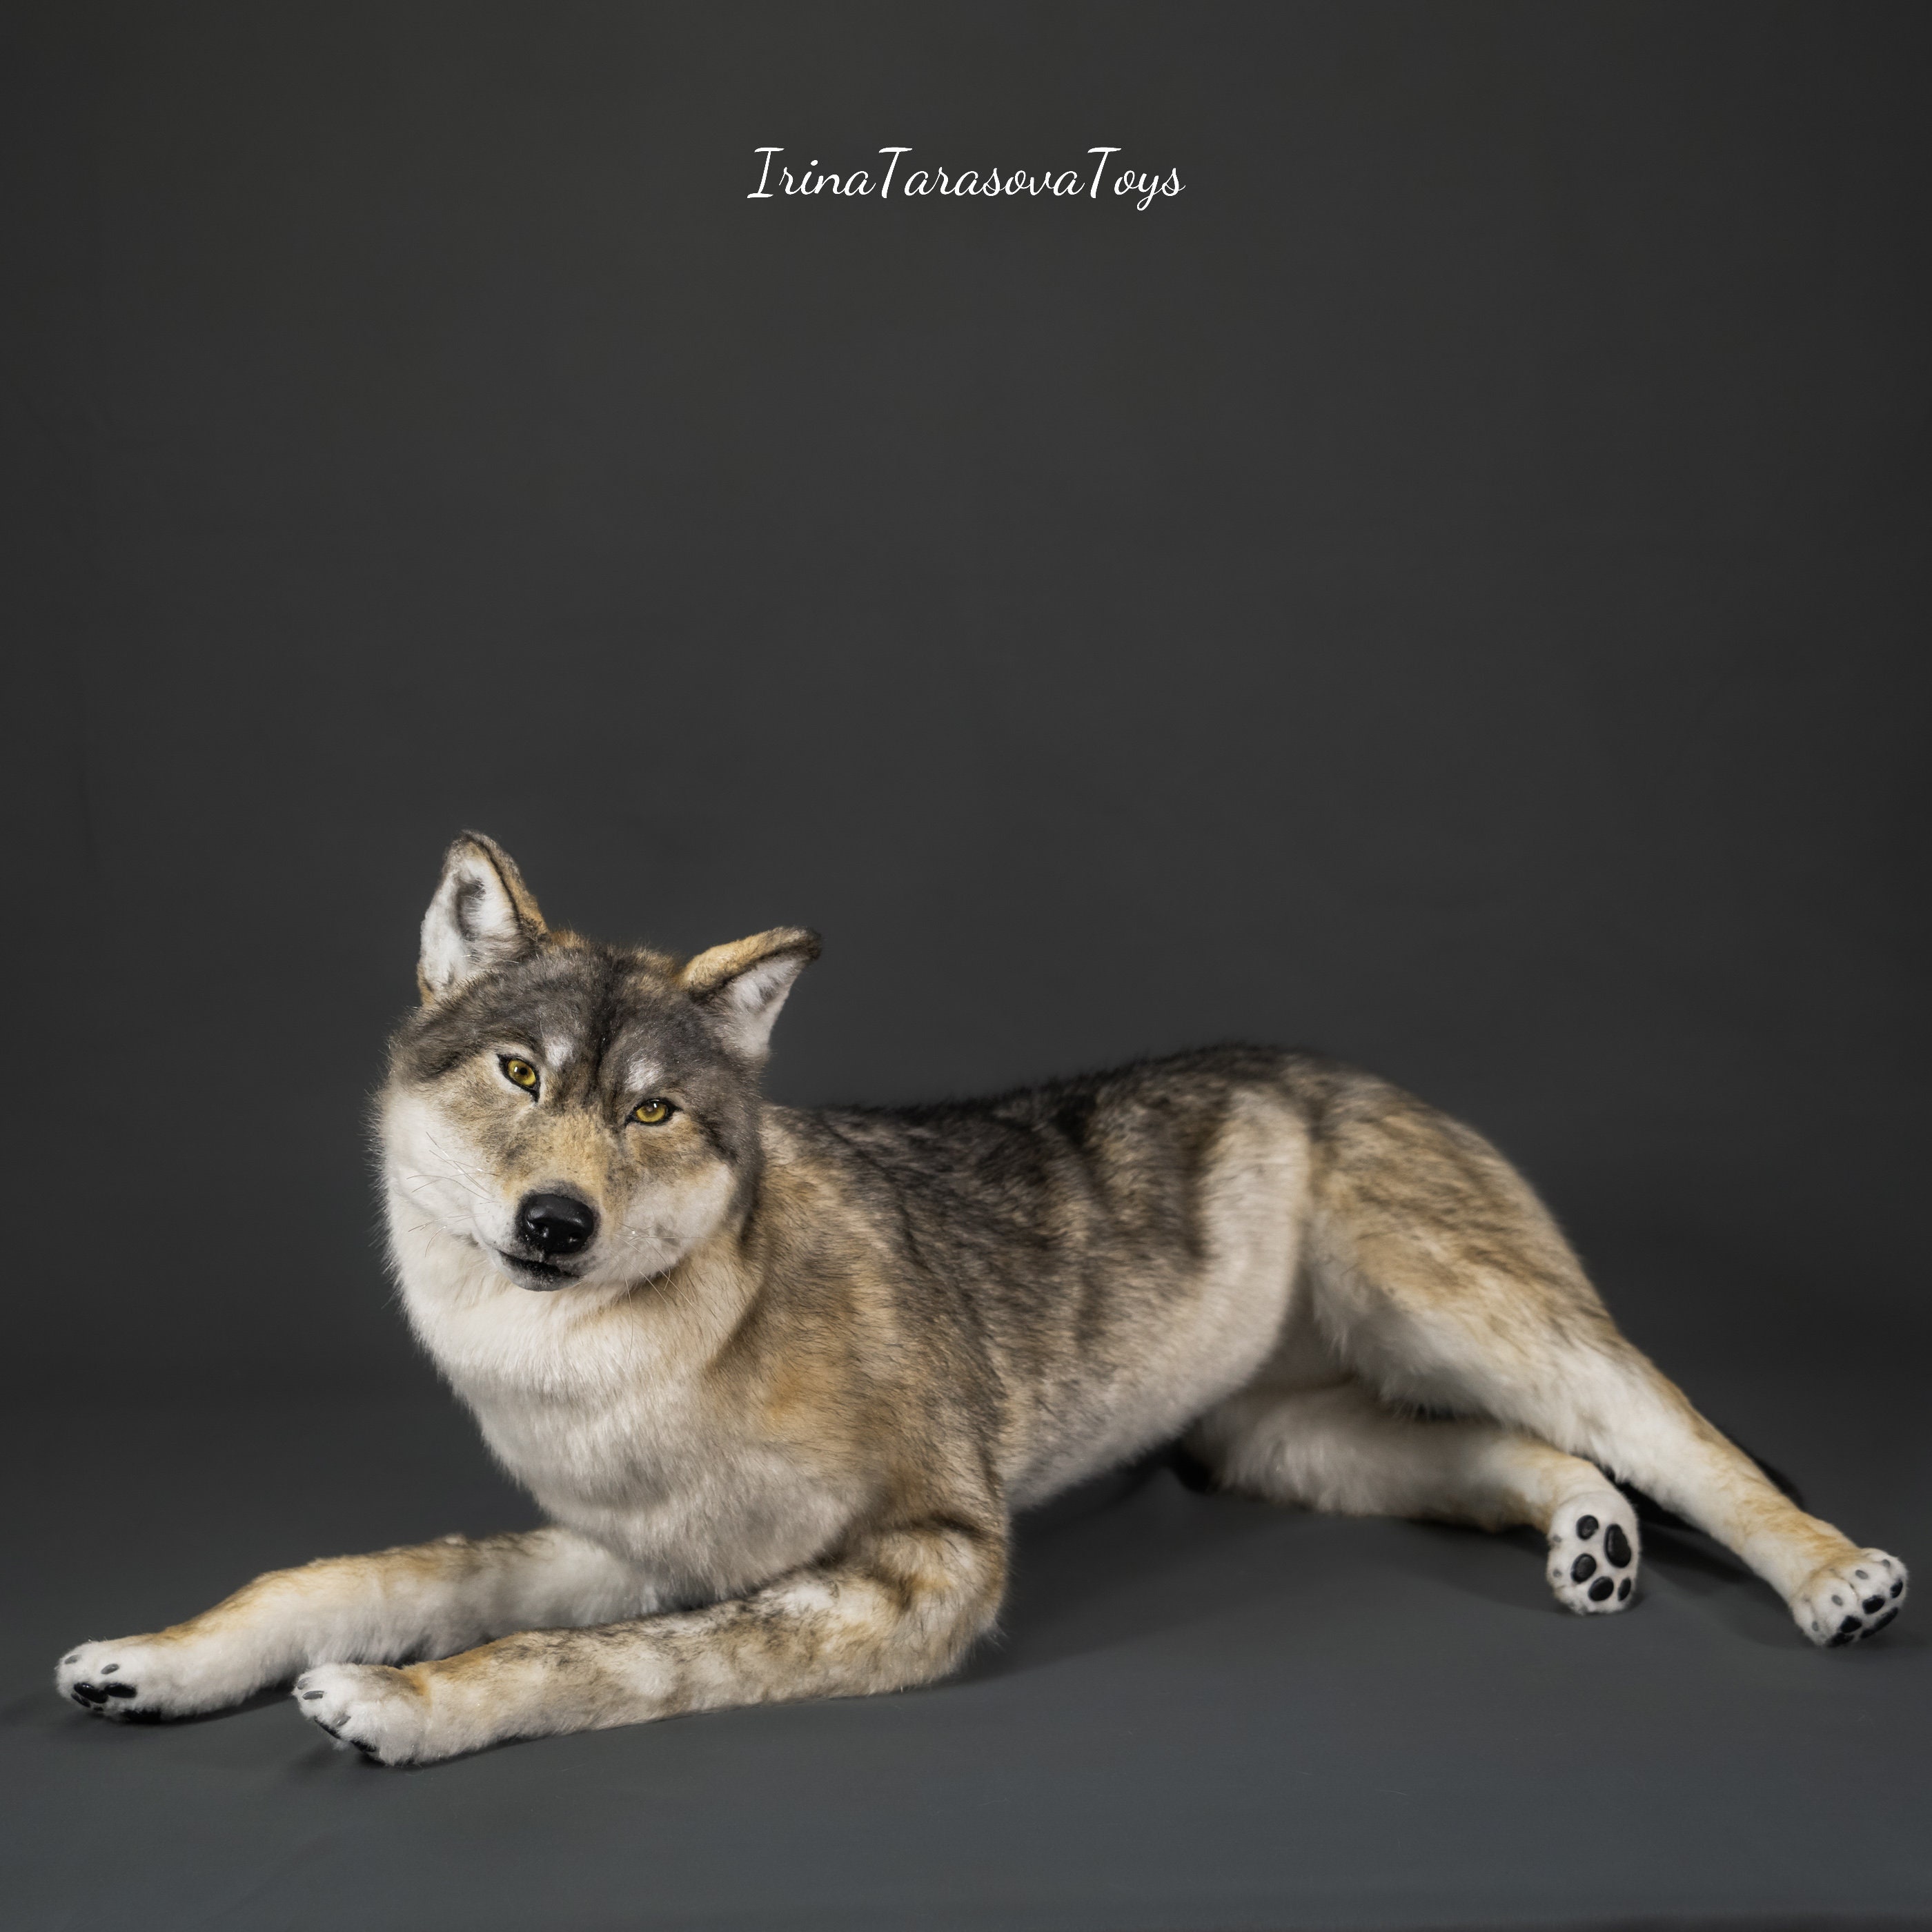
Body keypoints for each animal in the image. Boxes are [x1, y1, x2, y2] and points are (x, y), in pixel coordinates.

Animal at [56, 833, 1908, 1764]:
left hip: (1492, 1322)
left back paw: (1834, 1581)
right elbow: (363, 1575)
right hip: (1274, 1443)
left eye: (650, 1111)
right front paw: (159, 1658)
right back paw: (1585, 1538)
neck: (634, 1359)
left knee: (1696, 1450)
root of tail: (1344, 1065)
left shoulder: (922, 1569)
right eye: (519, 1074)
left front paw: (403, 1708)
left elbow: (590, 1667)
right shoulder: (633, 1547)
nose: (557, 1223)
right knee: (1521, 1457)